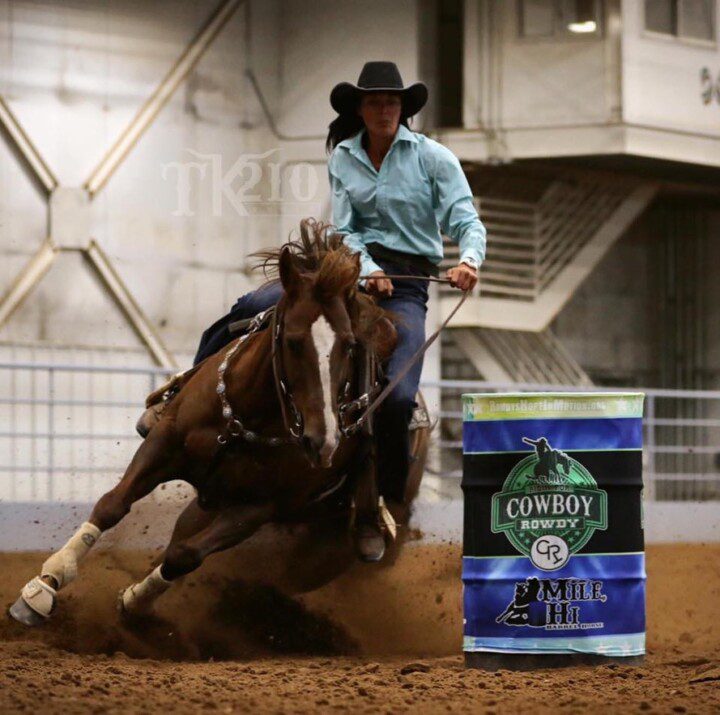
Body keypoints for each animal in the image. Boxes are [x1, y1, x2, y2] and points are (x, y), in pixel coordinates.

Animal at [10, 220, 430, 627]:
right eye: (293, 341)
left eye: (349, 344)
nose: (322, 442)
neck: (244, 418)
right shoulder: (163, 444)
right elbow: (112, 505)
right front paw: (42, 588)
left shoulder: (256, 508)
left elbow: (183, 556)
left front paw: (134, 601)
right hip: (209, 501)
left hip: (318, 546)